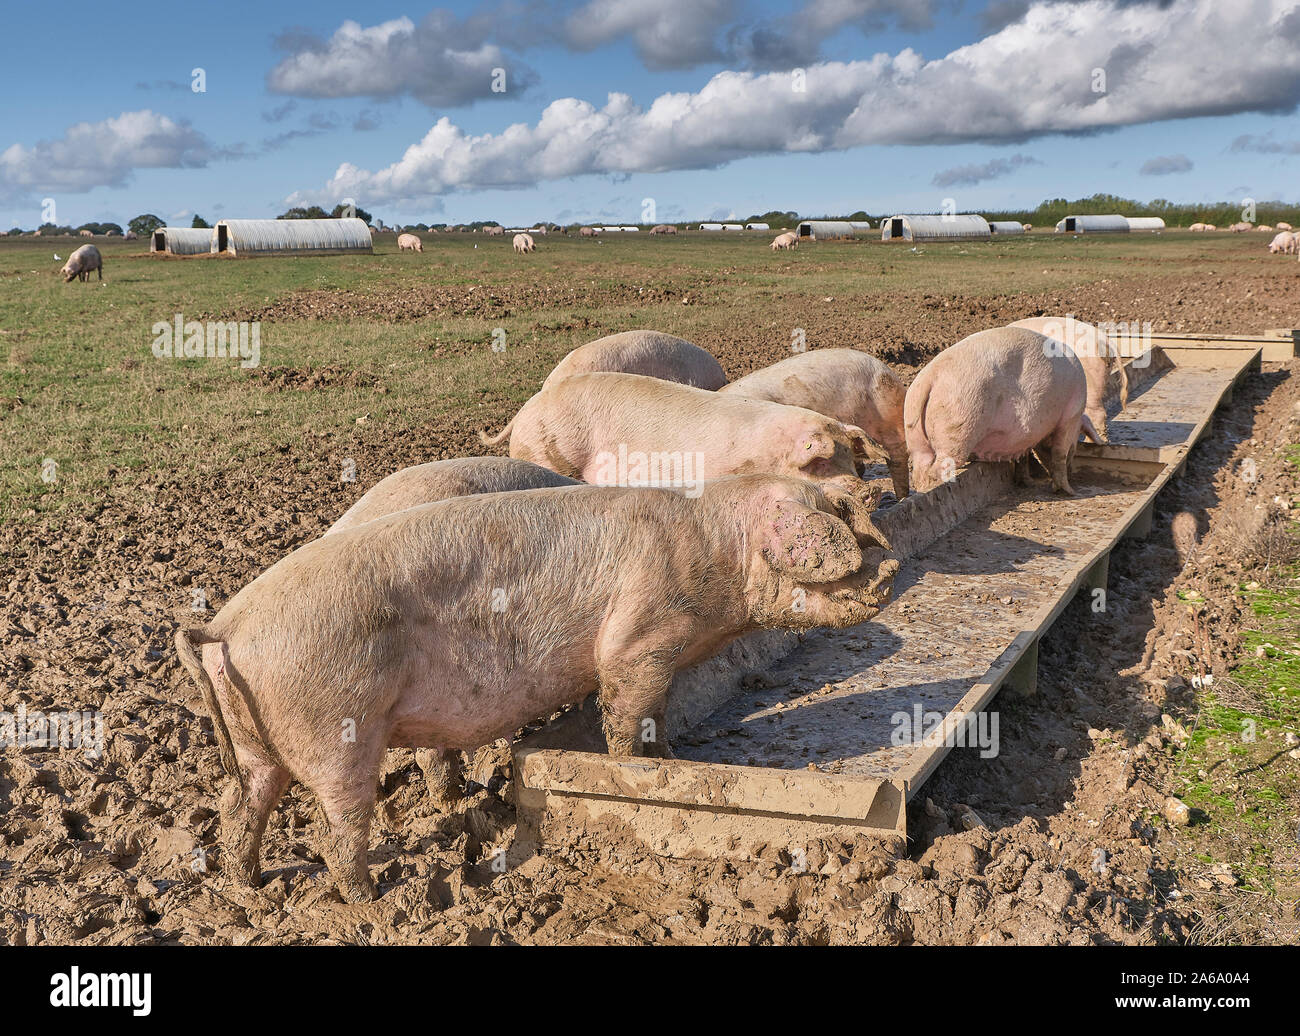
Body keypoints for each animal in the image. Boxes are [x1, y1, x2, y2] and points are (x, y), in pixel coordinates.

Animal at [175, 475, 898, 901]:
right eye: (836, 519)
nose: (890, 569)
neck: (719, 549)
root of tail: (223, 626)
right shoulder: (639, 639)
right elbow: (629, 708)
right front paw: (645, 769)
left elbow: (653, 711)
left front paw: (668, 757)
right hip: (335, 729)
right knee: (336, 827)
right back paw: (374, 898)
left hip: (255, 746)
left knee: (239, 808)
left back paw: (250, 887)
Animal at [905, 327, 1092, 495]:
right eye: (1078, 435)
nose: (1072, 474)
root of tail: (931, 376)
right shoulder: (1071, 415)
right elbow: (1060, 452)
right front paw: (1069, 492)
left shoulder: (1024, 439)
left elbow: (1023, 455)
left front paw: (1028, 483)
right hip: (960, 420)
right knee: (939, 467)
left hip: (916, 438)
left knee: (921, 470)